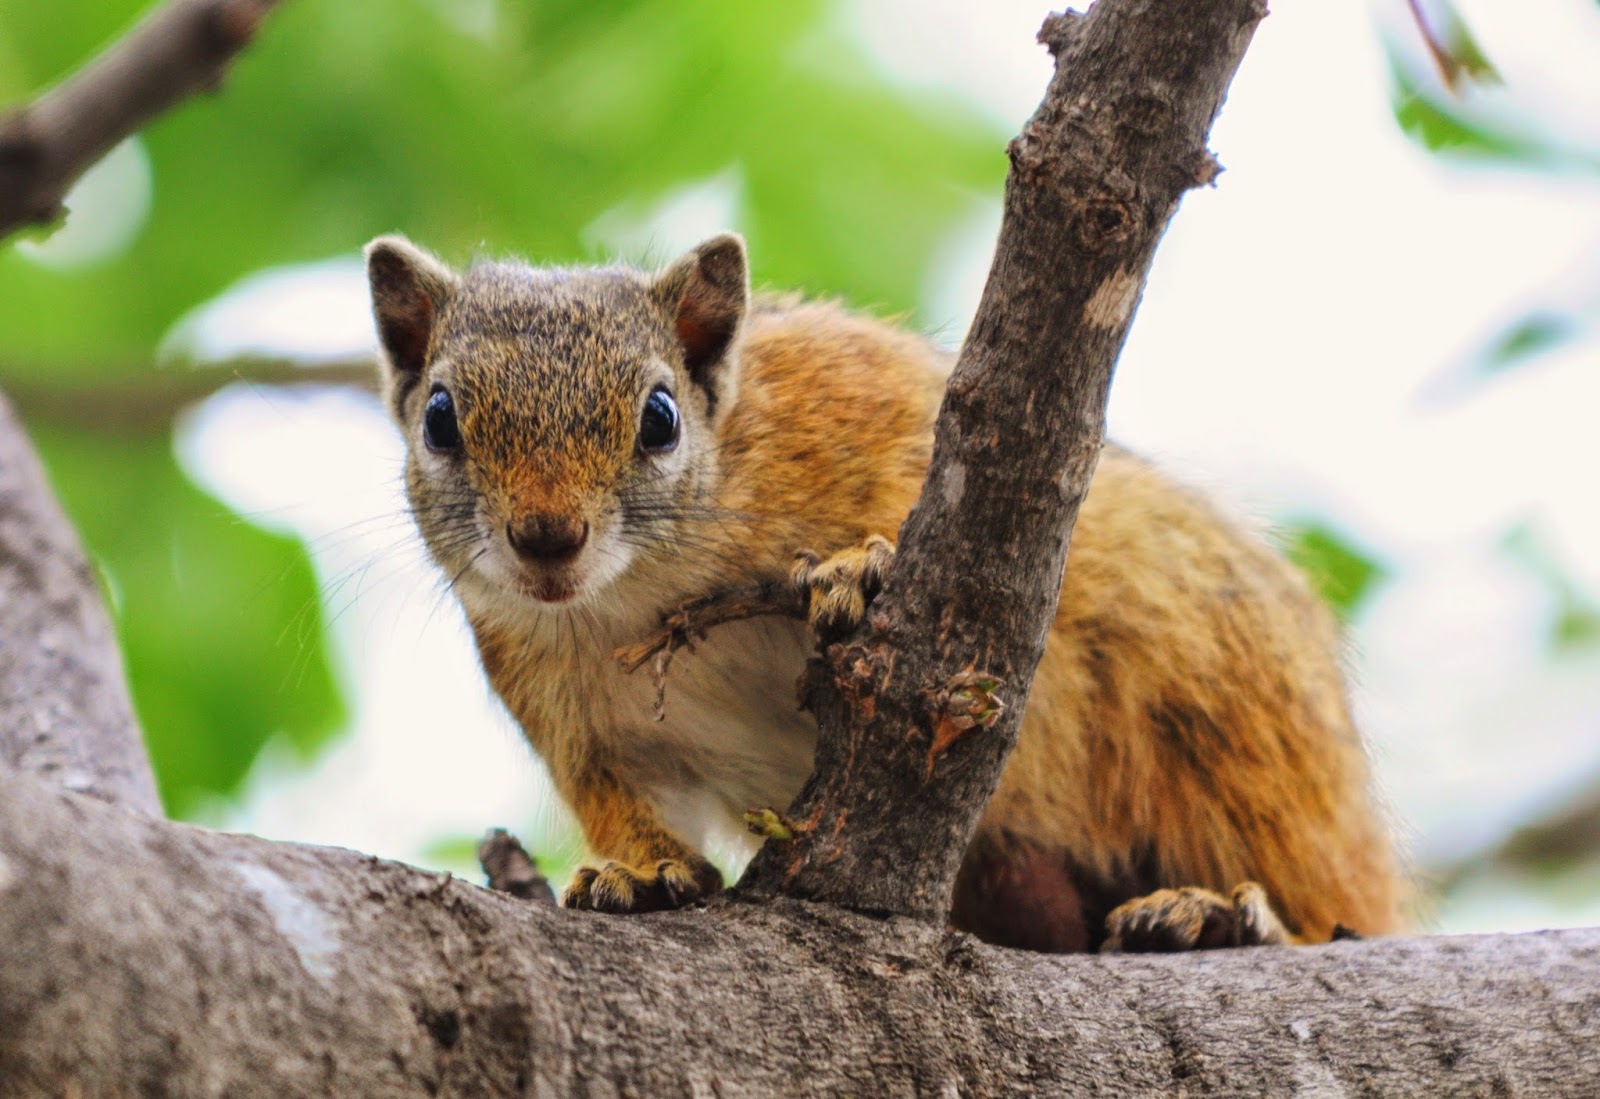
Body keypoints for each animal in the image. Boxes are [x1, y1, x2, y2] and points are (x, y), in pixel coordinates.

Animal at [365, 231, 1408, 953]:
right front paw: (642, 873)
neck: (642, 590)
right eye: (441, 418)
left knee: (1317, 892)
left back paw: (1222, 912)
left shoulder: (864, 403)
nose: (546, 539)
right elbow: (619, 793)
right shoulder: (564, 704)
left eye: (660, 416)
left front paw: (853, 566)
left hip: (1235, 722)